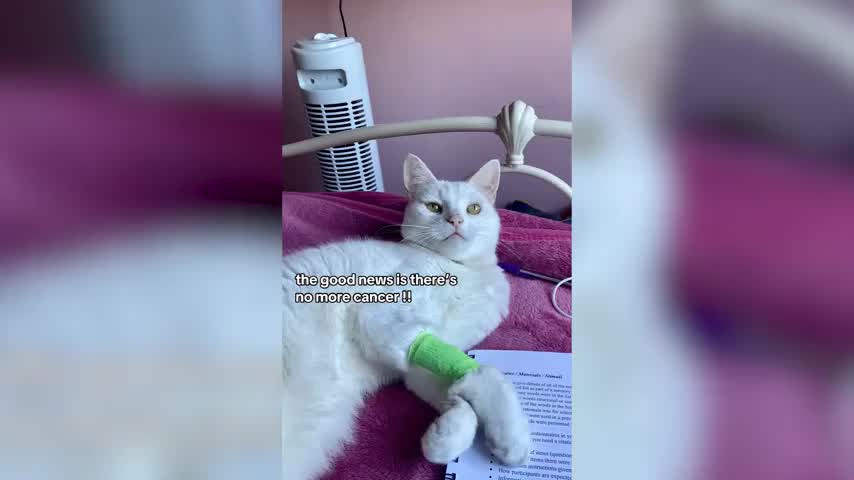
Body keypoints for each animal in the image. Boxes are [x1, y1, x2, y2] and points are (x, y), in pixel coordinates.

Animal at [282, 156, 531, 480]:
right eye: (434, 207)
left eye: (474, 208)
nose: (455, 220)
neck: (461, 271)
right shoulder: (385, 321)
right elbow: (484, 372)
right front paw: (508, 433)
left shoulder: (422, 365)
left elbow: (459, 388)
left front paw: (448, 439)